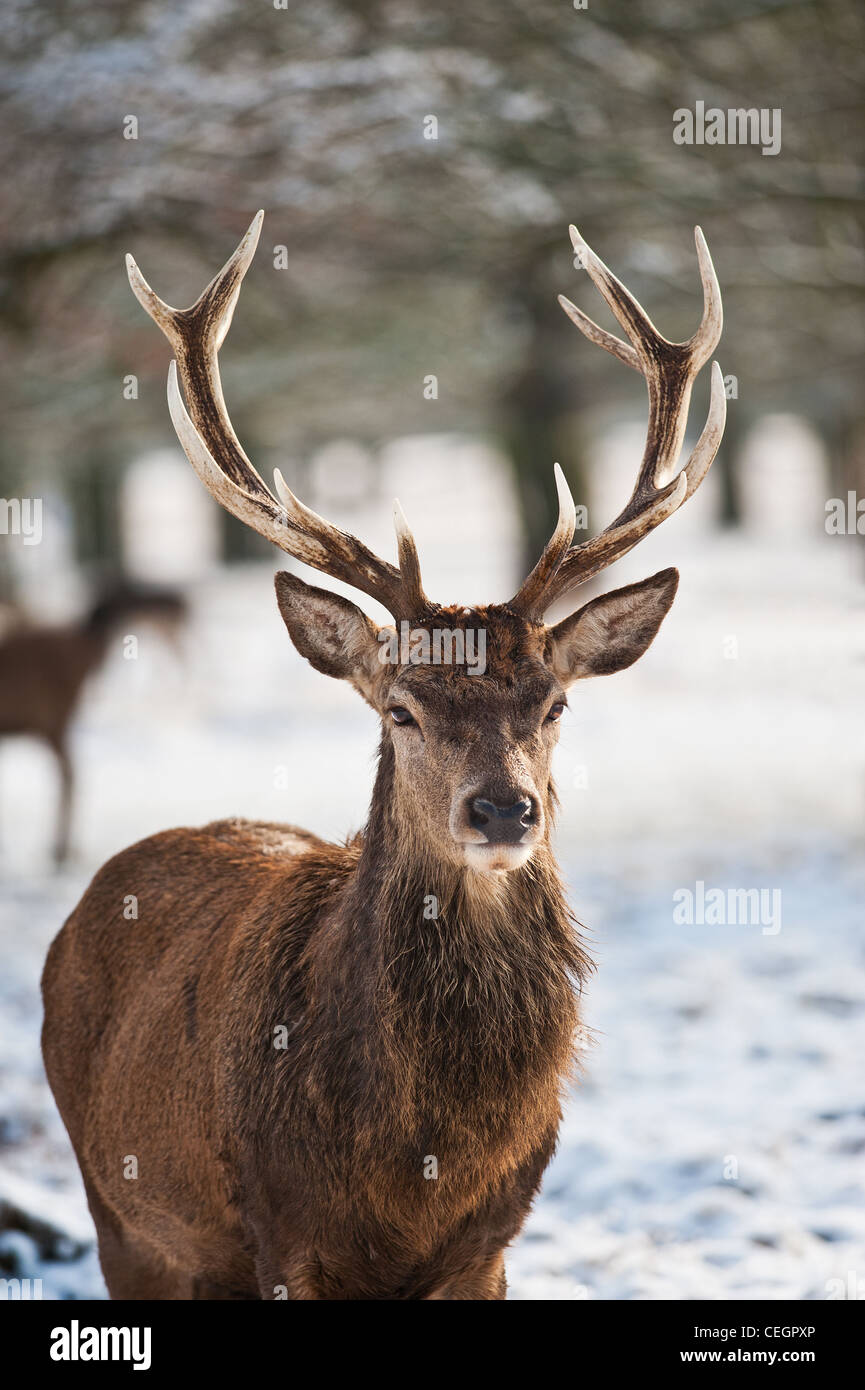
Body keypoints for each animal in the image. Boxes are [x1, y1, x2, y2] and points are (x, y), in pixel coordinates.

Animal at [41, 213, 724, 1300]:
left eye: (556, 702)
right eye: (401, 709)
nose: (502, 810)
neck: (419, 1163)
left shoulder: (492, 1243)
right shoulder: (285, 1234)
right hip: (123, 1215)